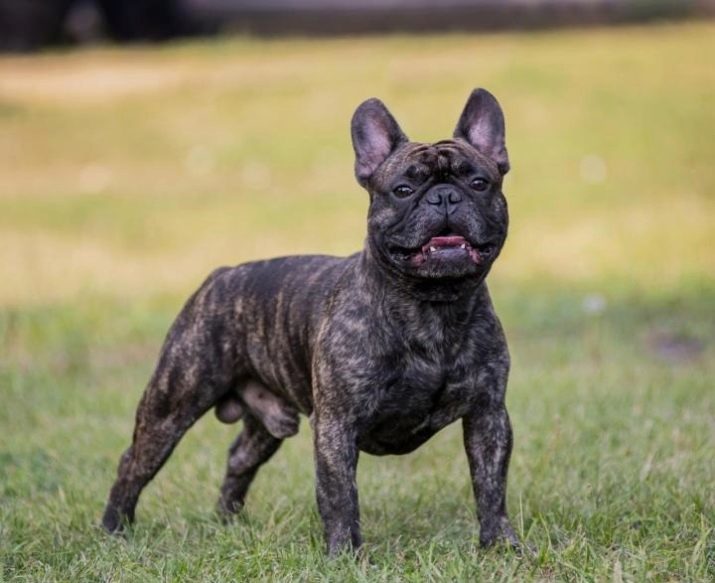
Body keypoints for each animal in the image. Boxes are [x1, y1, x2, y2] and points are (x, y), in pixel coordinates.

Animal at [102, 88, 520, 556]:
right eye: (403, 189)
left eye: (479, 183)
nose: (445, 197)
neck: (433, 304)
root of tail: (221, 275)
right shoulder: (336, 424)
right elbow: (340, 495)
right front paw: (345, 554)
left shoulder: (488, 415)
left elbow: (490, 484)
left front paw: (501, 545)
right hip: (172, 404)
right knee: (134, 462)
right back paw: (114, 529)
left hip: (266, 421)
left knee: (239, 455)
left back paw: (228, 520)